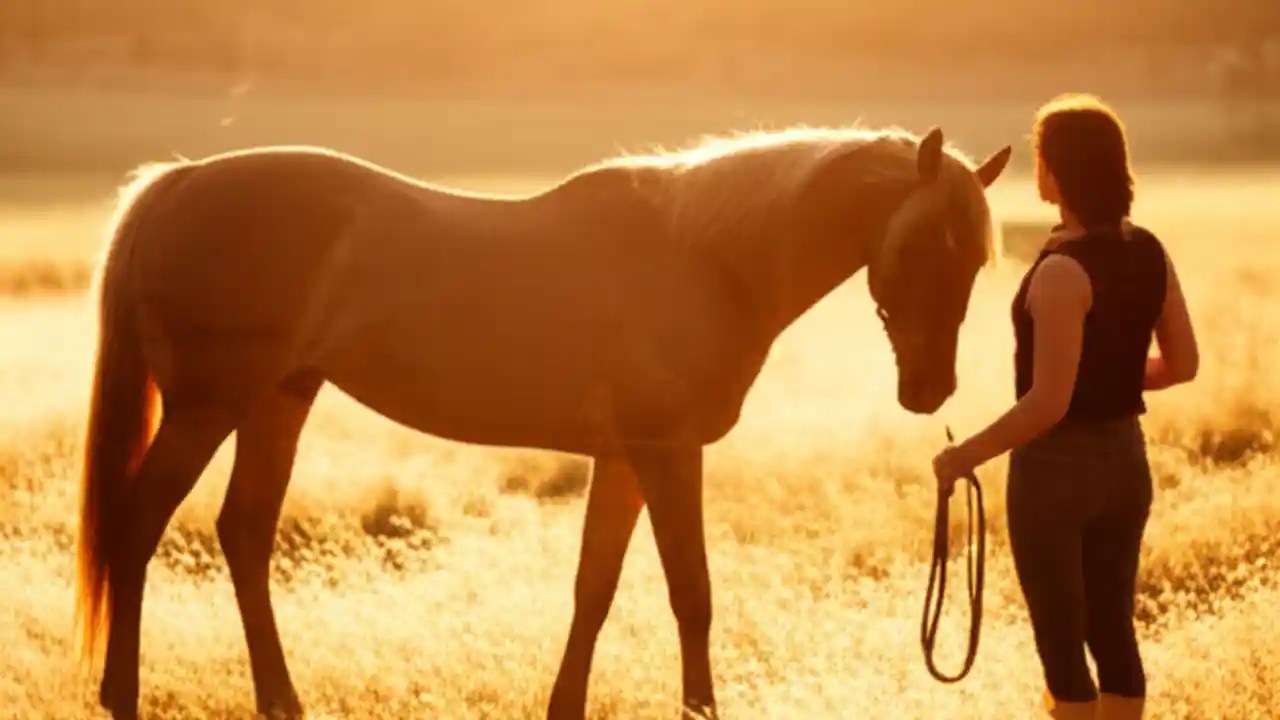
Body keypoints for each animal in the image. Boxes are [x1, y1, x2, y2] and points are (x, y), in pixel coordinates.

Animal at [74, 124, 1011, 719]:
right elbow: (692, 595)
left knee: (242, 534)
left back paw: (282, 702)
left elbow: (593, 590)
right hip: (208, 407)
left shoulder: (624, 460)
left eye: (974, 258)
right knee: (139, 526)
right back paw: (122, 699)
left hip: (279, 401)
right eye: (919, 247)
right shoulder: (667, 453)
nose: (930, 391)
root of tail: (181, 181)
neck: (707, 257)